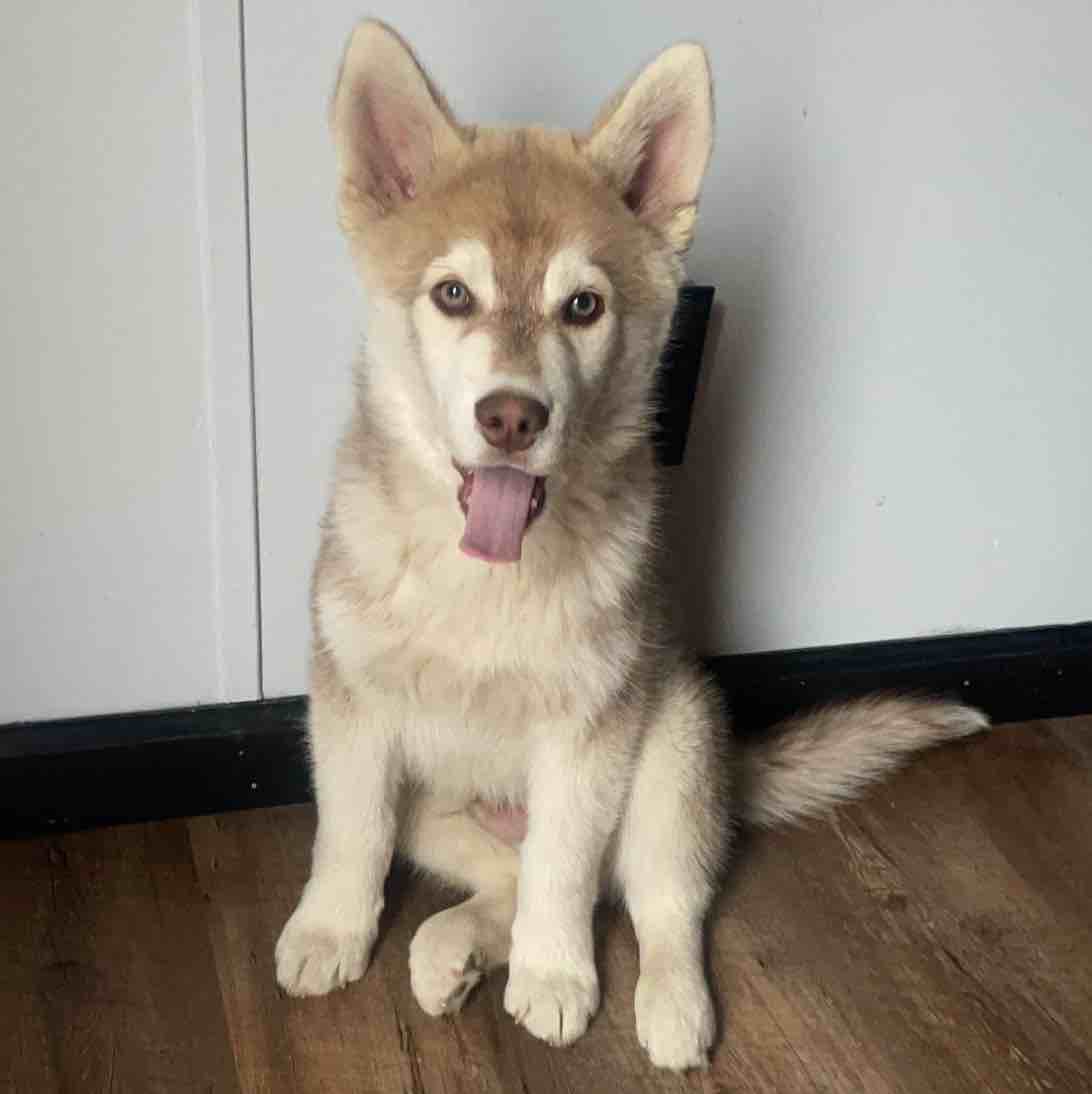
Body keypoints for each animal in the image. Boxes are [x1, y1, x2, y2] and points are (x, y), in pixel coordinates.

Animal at [274, 20, 988, 1070]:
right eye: (453, 294)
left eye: (582, 306)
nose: (512, 417)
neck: (484, 580)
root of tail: (729, 774)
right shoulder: (353, 704)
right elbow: (349, 831)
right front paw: (330, 928)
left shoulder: (590, 733)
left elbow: (566, 872)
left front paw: (557, 976)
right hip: (437, 809)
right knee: (501, 881)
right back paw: (453, 948)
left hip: (673, 749)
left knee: (659, 905)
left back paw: (668, 1005)